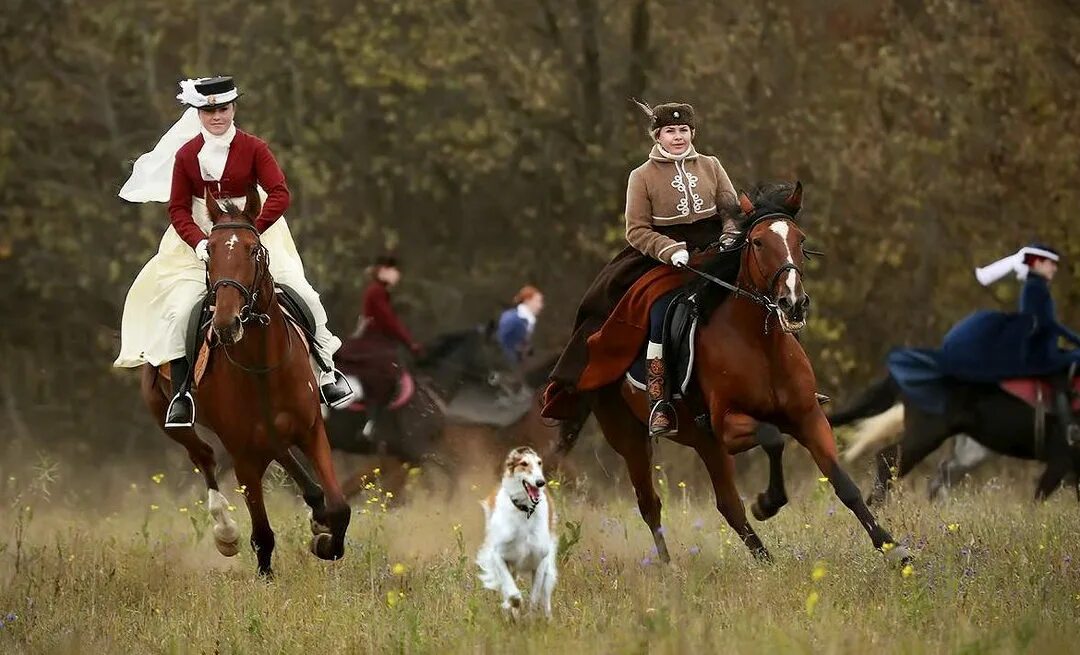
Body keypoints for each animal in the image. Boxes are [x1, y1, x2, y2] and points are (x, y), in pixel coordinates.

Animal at [140, 186, 349, 579]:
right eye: (210, 250)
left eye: (253, 249)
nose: (226, 322)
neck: (261, 367)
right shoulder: (242, 455)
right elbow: (263, 536)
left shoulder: (312, 431)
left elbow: (340, 507)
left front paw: (325, 540)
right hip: (164, 413)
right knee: (203, 456)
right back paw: (226, 532)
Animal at [475, 447, 557, 622]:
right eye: (524, 463)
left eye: (539, 463)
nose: (540, 482)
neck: (525, 511)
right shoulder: (499, 555)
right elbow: (512, 593)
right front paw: (514, 605)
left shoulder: (540, 560)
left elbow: (534, 599)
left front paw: (530, 618)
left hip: (549, 567)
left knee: (546, 597)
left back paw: (548, 619)